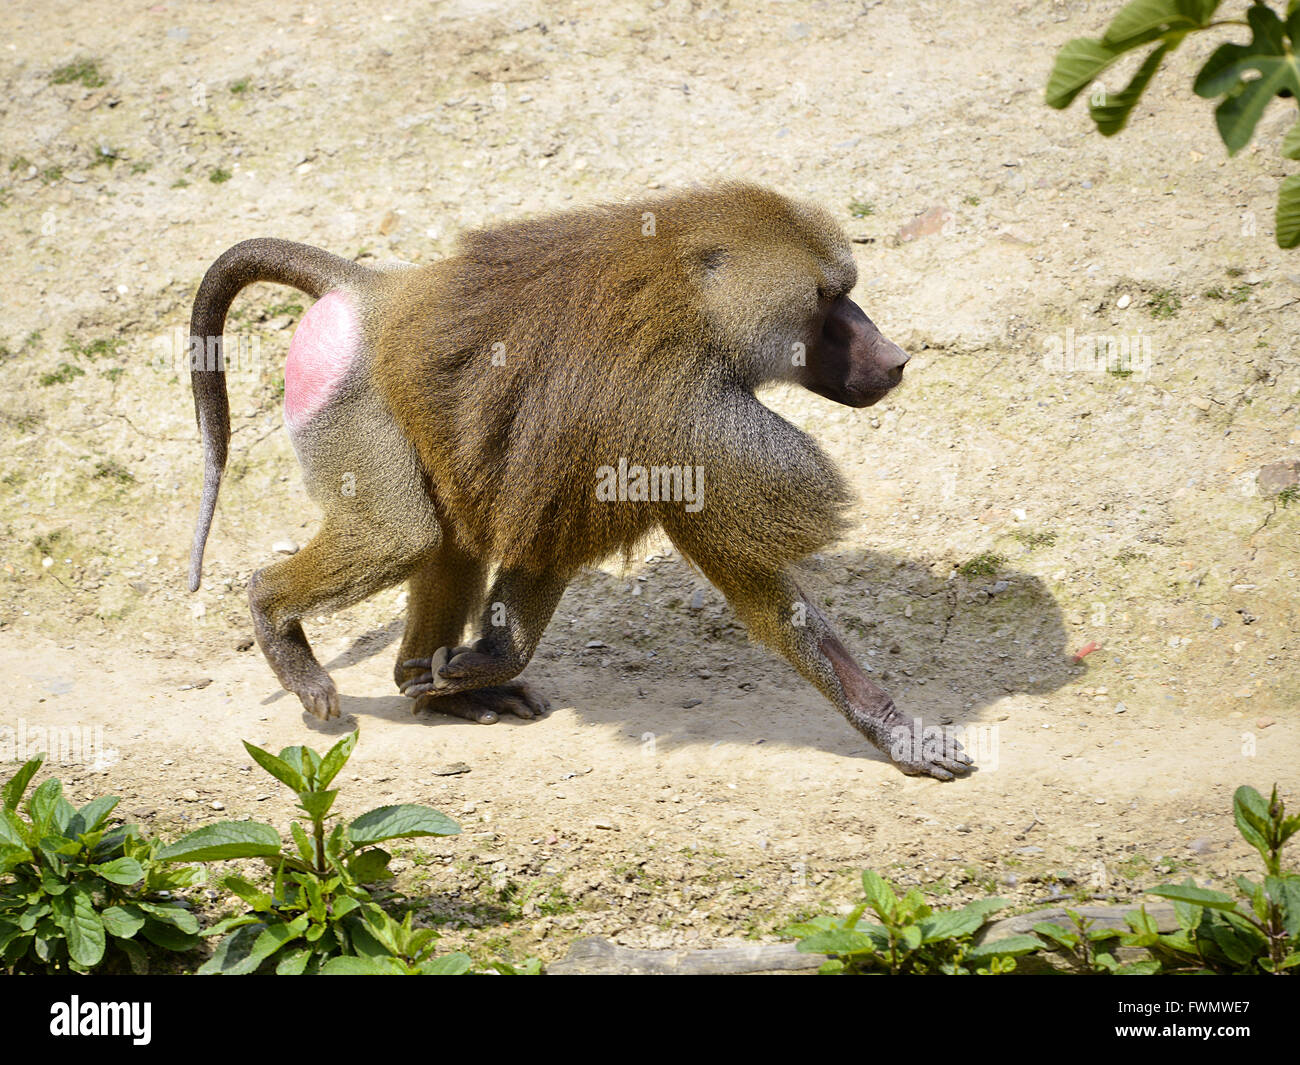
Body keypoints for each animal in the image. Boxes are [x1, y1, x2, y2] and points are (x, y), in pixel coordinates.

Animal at [187, 182, 972, 780]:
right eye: (828, 301)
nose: (896, 359)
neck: (700, 308)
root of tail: (380, 289)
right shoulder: (691, 420)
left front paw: (899, 734)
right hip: (351, 397)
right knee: (399, 536)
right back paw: (276, 620)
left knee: (443, 538)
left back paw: (427, 686)